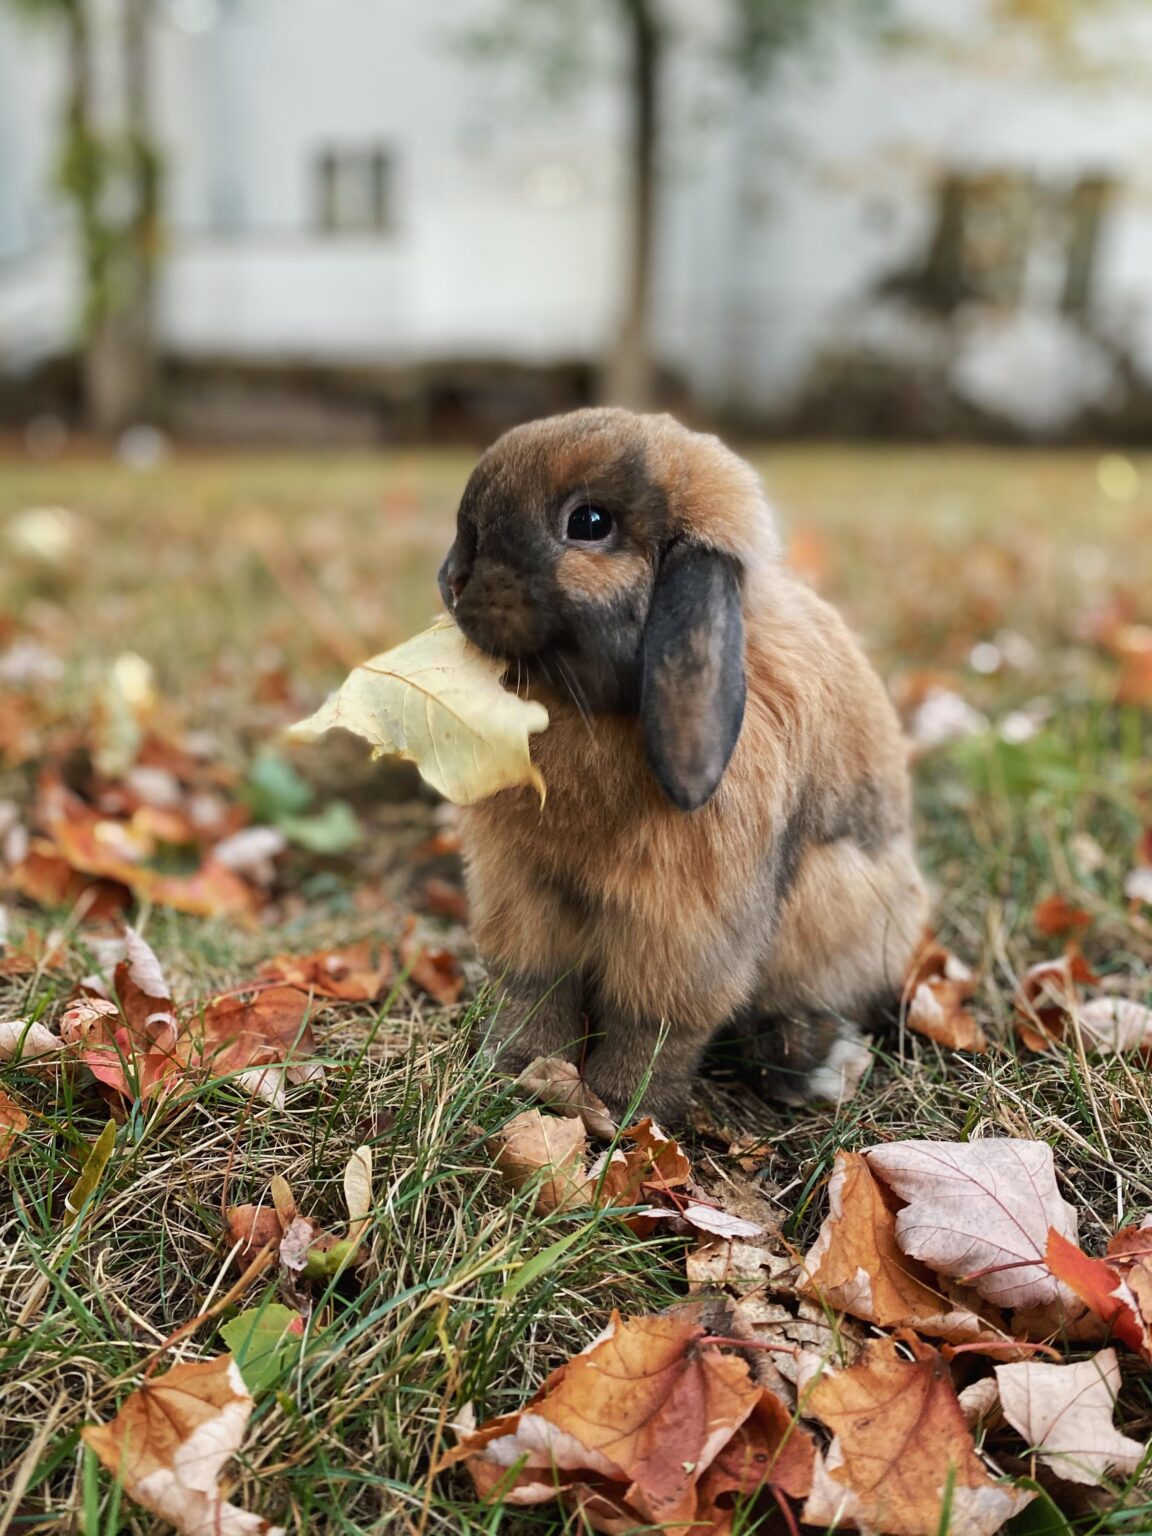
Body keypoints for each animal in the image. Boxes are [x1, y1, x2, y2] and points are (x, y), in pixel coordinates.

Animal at [437, 407, 928, 1125]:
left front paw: (623, 1107)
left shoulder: (682, 924)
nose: (452, 579)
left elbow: (655, 1024)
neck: (589, 709)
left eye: (589, 523)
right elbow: (535, 989)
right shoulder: (525, 893)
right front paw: (515, 1070)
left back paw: (805, 1059)